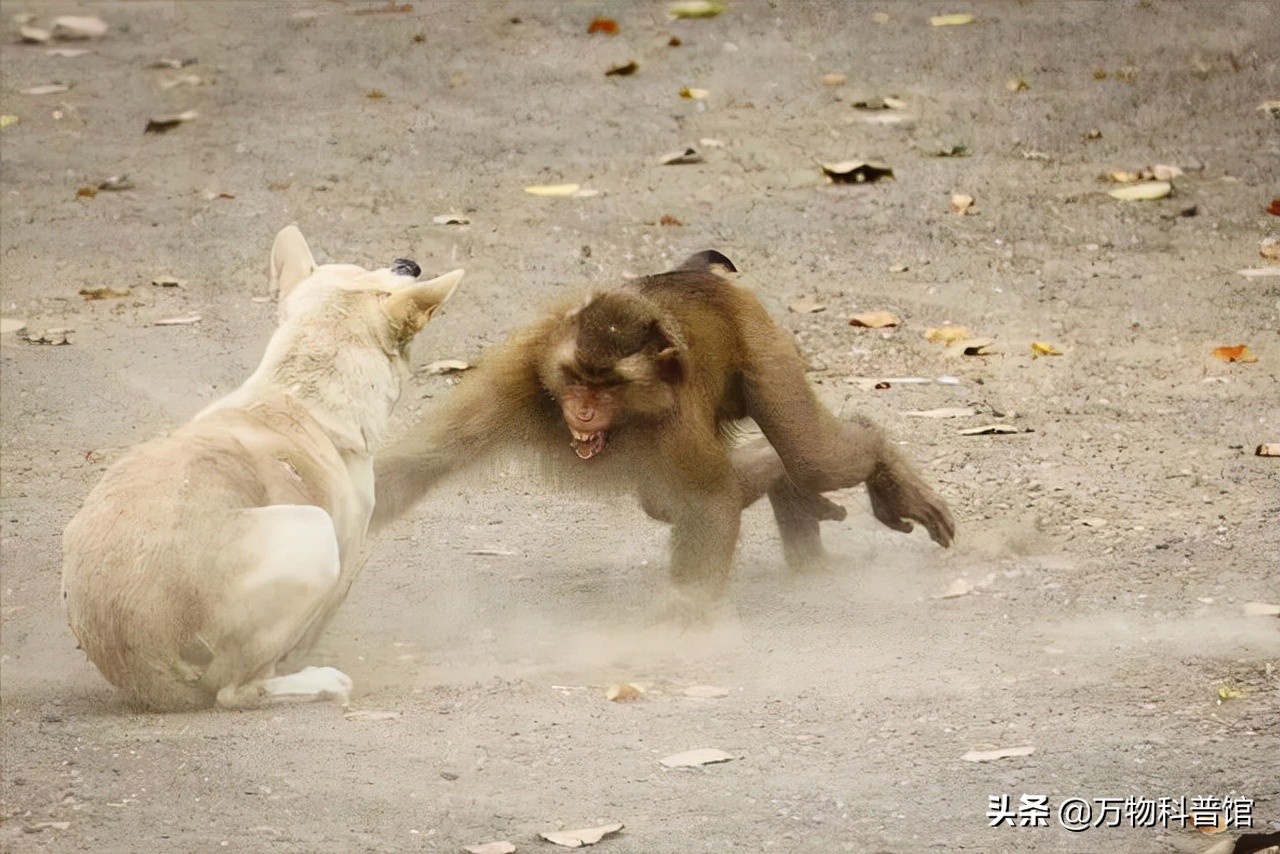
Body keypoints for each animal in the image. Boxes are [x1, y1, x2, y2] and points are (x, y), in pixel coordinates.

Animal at [372, 251, 954, 611]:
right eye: (576, 380)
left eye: (608, 387)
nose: (583, 412)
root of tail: (692, 274)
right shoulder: (522, 376)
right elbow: (419, 463)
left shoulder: (673, 420)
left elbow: (709, 504)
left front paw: (677, 628)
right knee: (669, 498)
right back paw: (789, 491)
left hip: (761, 342)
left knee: (812, 456)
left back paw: (873, 458)